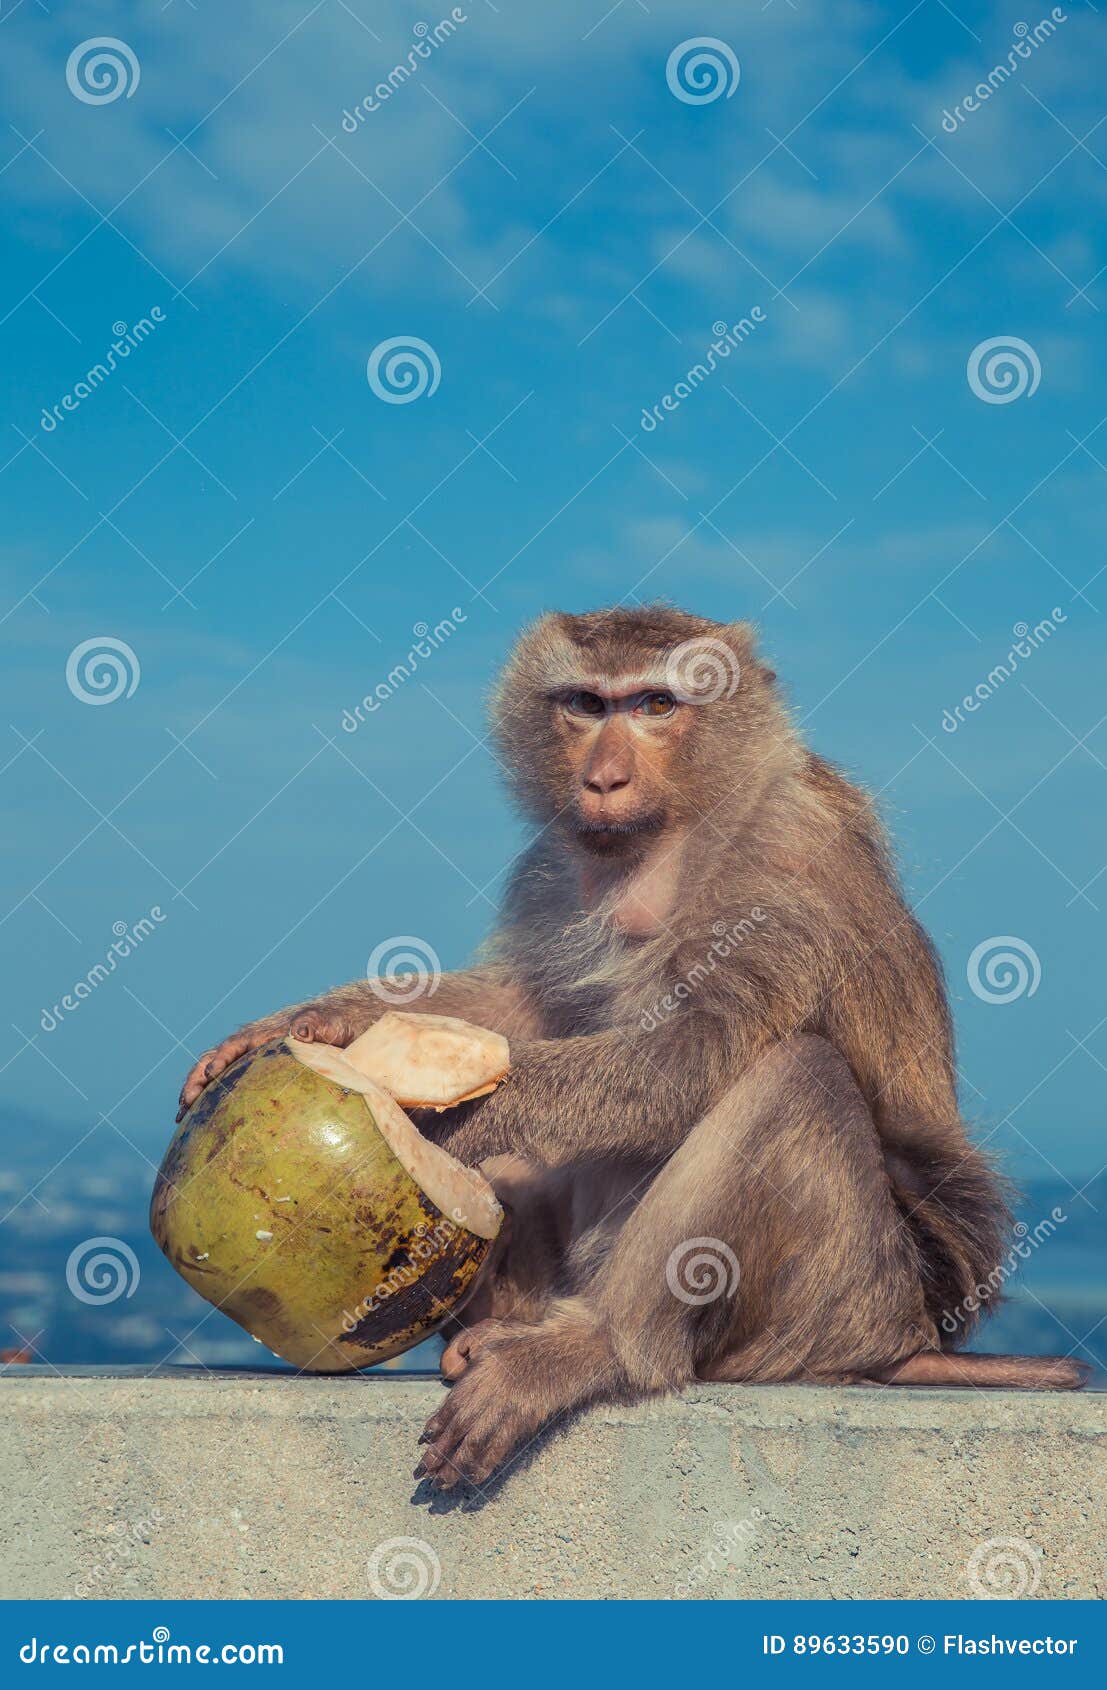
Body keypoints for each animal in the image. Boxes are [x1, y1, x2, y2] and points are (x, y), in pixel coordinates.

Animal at [179, 606, 1086, 1490]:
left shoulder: (785, 860)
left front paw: (449, 1129)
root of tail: (904, 1341)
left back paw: (594, 1349)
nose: (604, 780)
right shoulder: (554, 866)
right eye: (586, 704)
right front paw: (321, 1024)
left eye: (655, 705)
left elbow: (690, 1054)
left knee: (793, 1076)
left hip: (830, 1310)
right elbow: (525, 1008)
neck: (674, 832)